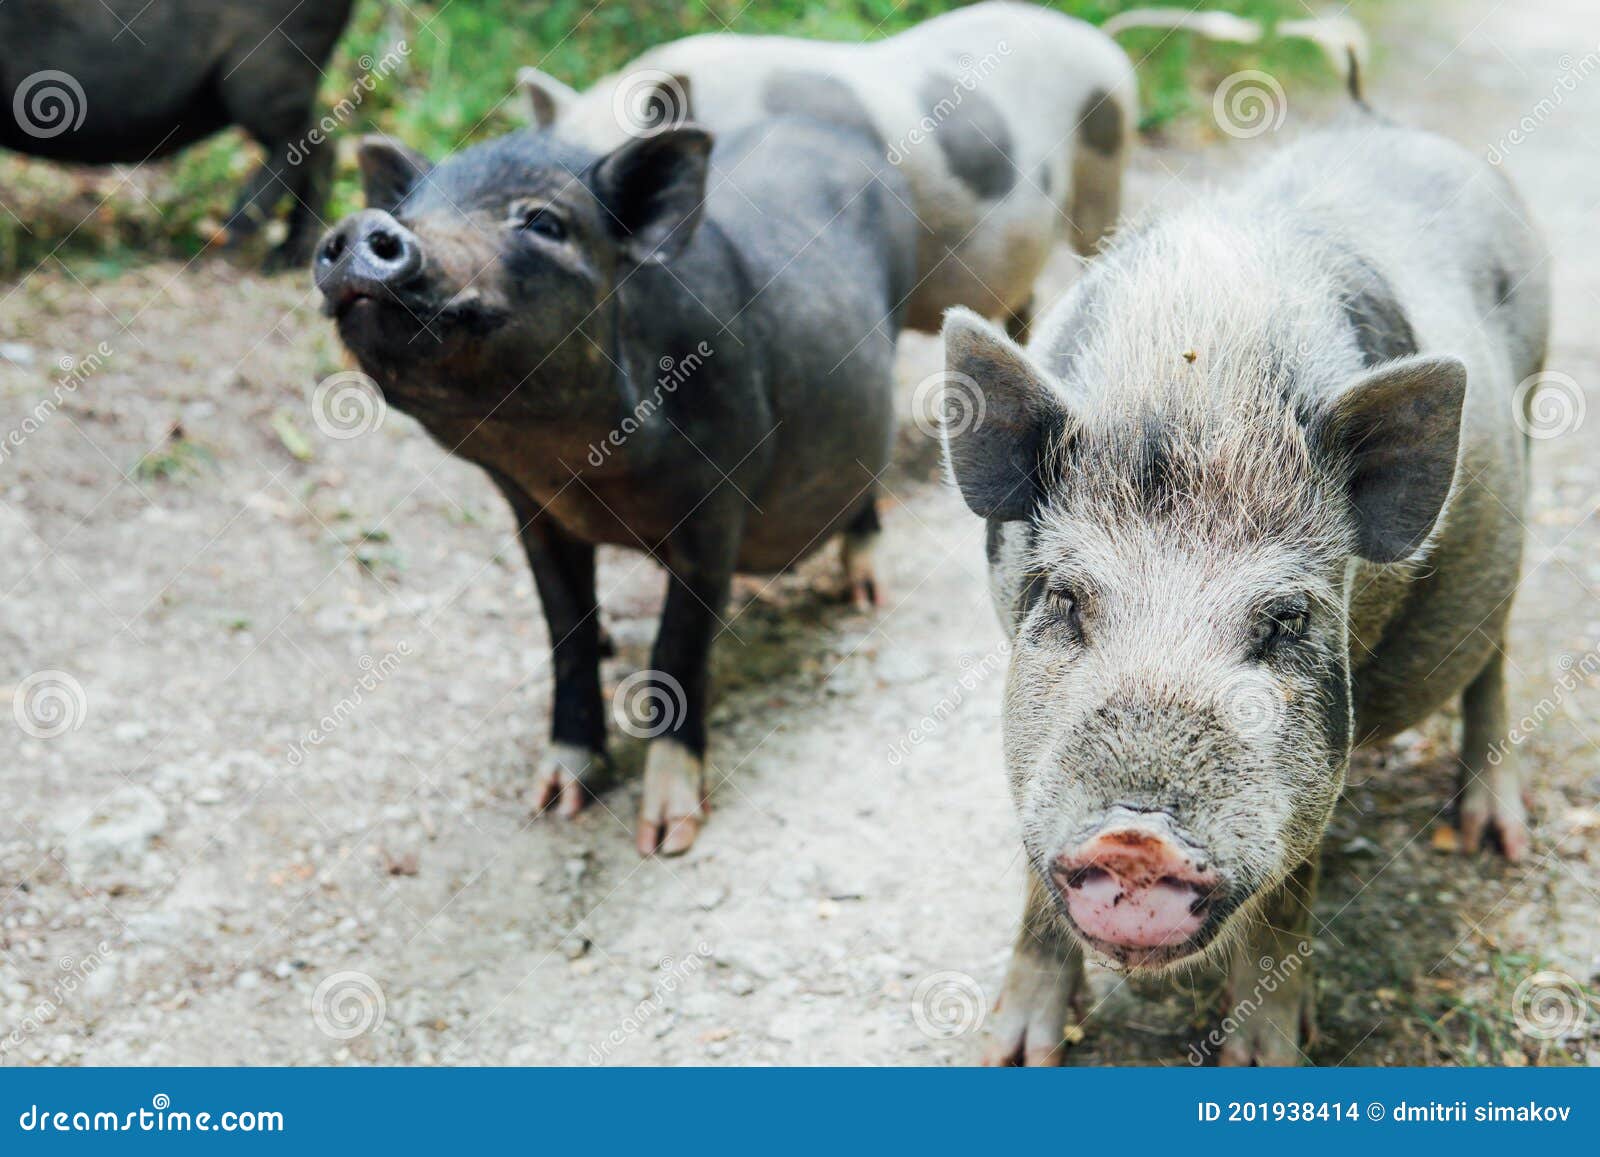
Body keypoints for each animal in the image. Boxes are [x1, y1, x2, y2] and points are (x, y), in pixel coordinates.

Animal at [313, 116, 915, 855]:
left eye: (543, 221)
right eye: (410, 209)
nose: (364, 225)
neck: (576, 469)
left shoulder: (717, 502)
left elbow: (679, 646)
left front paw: (666, 835)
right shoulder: (532, 512)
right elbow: (566, 631)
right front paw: (553, 802)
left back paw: (866, 595)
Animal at [940, 119, 1549, 1065]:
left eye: (1285, 619)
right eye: (1066, 600)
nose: (1136, 836)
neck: (1200, 383)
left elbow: (1294, 881)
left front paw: (1263, 1054)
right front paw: (1010, 1053)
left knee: (1494, 652)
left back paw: (1496, 839)